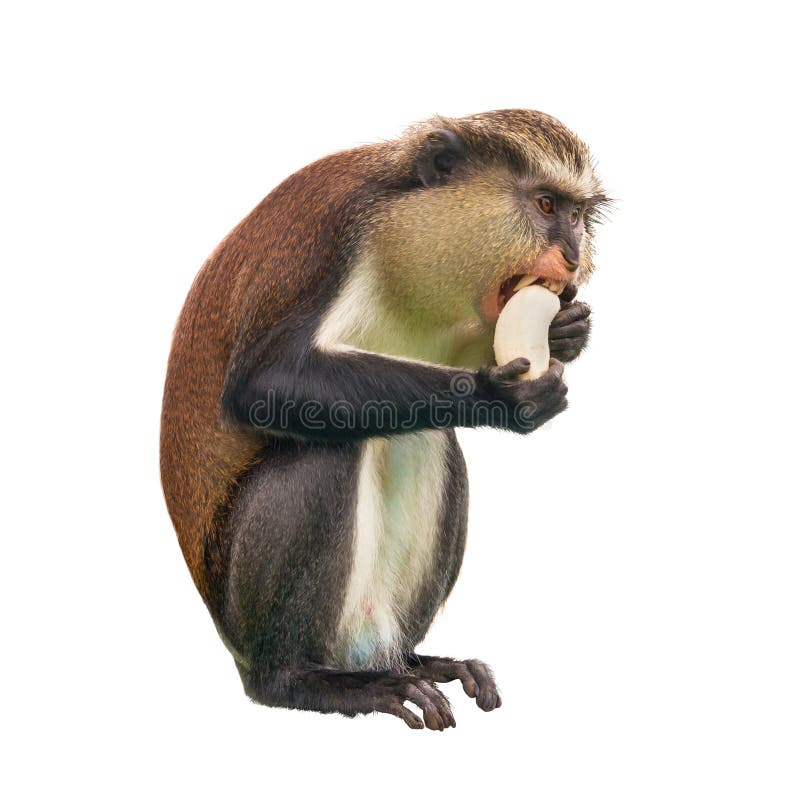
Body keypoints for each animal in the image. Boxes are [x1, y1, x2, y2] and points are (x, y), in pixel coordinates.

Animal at [160, 109, 607, 730]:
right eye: (545, 205)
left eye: (578, 216)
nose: (570, 253)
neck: (398, 226)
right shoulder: (329, 237)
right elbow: (263, 384)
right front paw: (497, 398)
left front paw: (567, 330)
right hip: (245, 615)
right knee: (328, 450)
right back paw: (303, 682)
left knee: (429, 432)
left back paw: (417, 662)